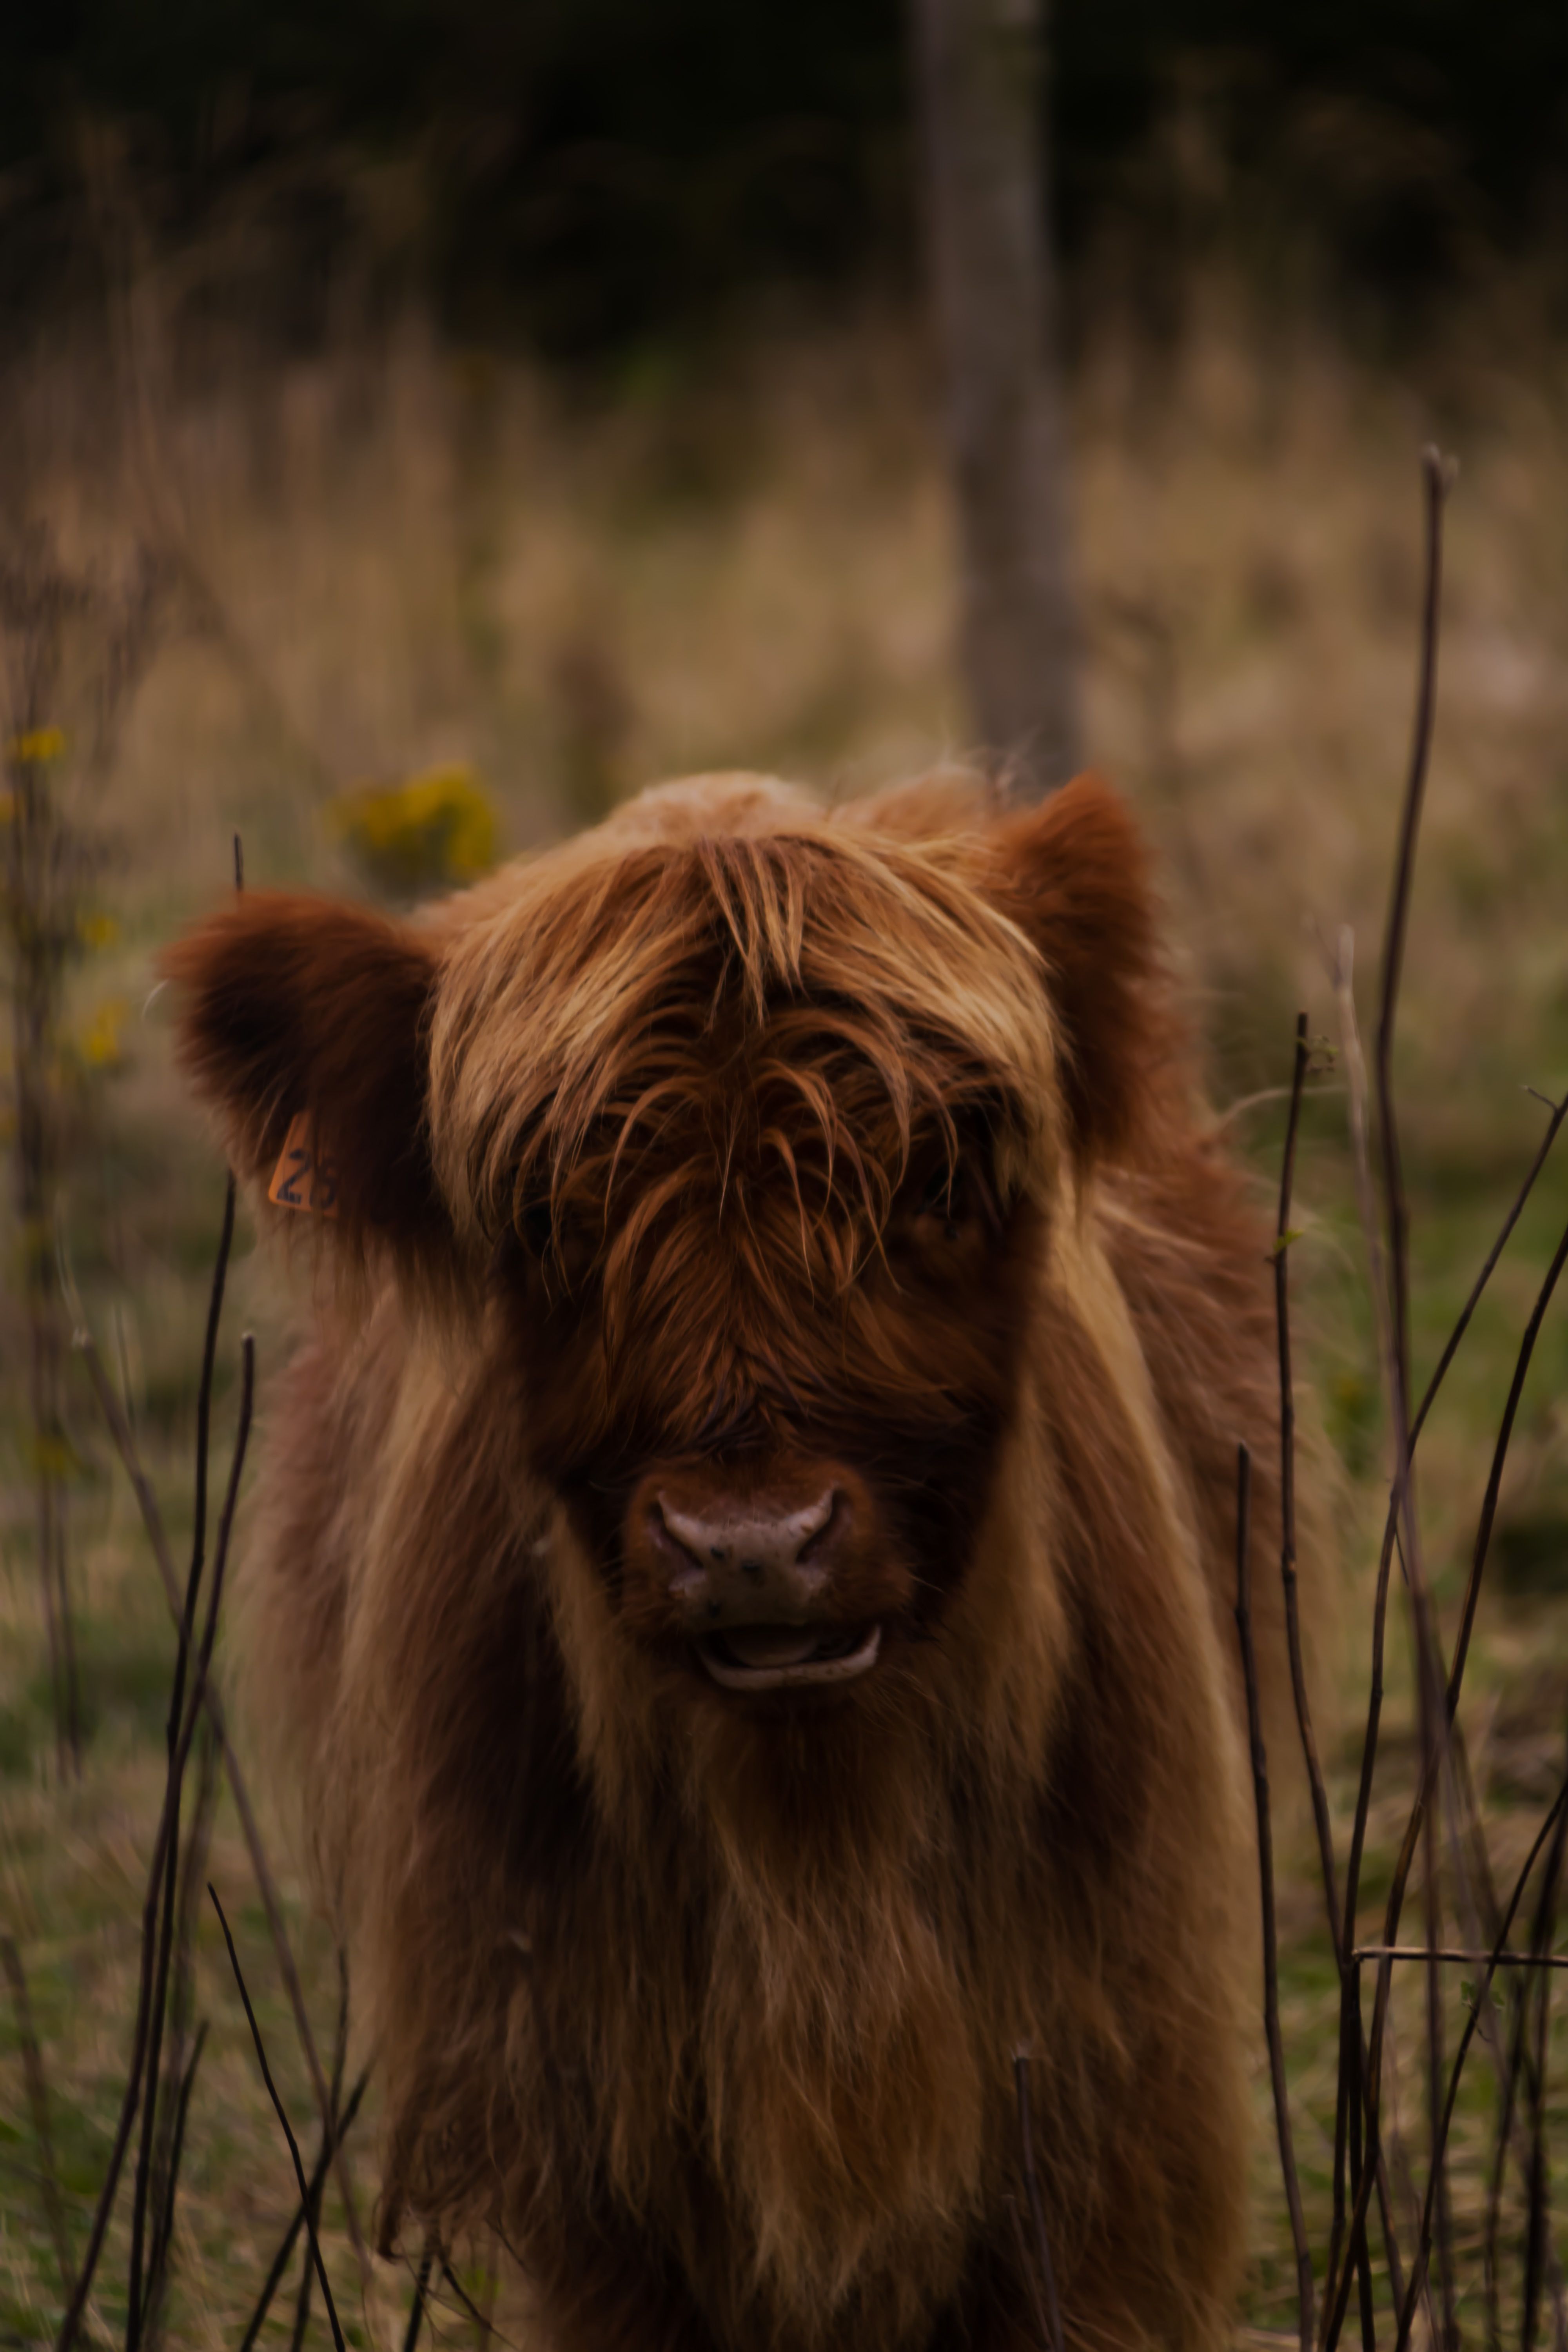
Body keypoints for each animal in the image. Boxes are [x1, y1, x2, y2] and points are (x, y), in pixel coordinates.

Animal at [164, 768, 1303, 2352]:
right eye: (545, 1217)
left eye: (936, 1179)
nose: (754, 1545)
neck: (816, 1848)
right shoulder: (582, 2144)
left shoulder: (1118, 2097)